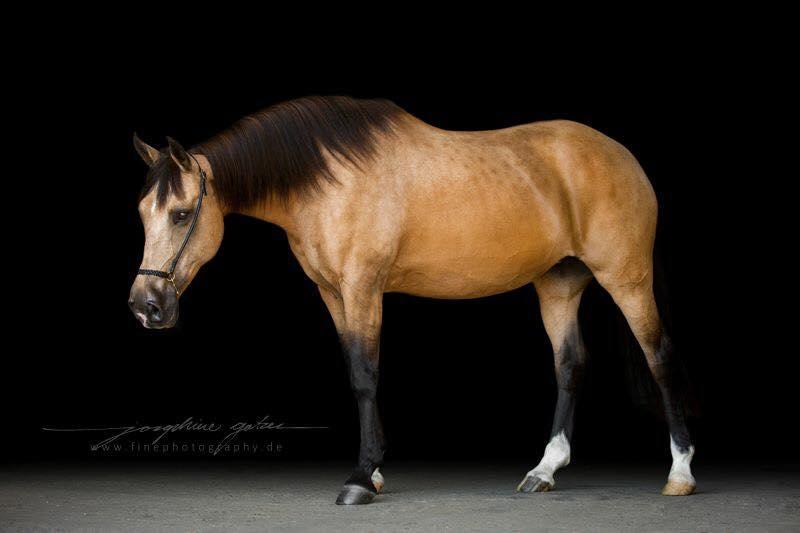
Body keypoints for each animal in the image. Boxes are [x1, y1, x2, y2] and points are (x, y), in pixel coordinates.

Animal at [128, 96, 695, 505]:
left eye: (181, 214)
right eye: (141, 213)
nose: (146, 305)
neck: (328, 182)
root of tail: (623, 156)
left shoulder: (362, 287)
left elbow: (365, 374)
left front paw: (361, 478)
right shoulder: (333, 293)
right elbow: (354, 371)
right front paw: (375, 471)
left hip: (626, 278)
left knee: (661, 357)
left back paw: (680, 472)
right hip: (559, 285)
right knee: (570, 365)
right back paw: (544, 470)